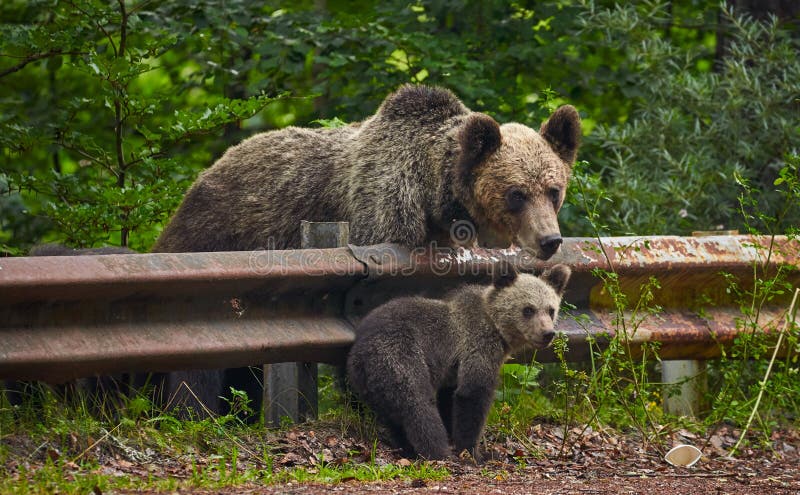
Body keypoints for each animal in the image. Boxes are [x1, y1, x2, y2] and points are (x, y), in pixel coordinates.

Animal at [346, 262, 571, 460]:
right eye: (528, 309)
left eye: (551, 309)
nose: (547, 333)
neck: (497, 328)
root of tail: (359, 351)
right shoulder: (478, 344)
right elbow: (473, 394)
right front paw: (475, 452)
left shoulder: (452, 369)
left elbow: (450, 397)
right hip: (400, 355)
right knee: (418, 403)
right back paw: (437, 452)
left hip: (370, 382)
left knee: (394, 414)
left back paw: (406, 447)